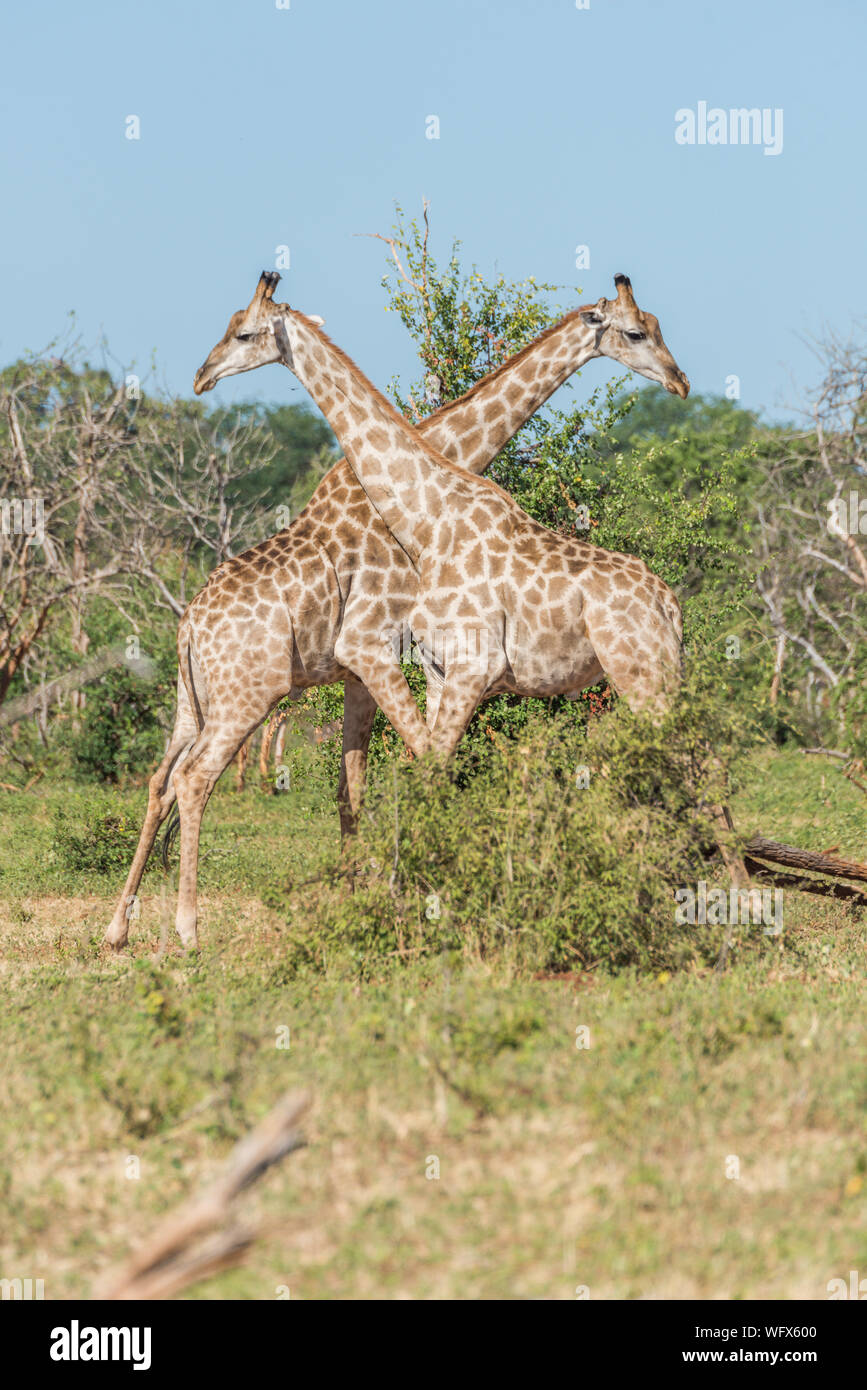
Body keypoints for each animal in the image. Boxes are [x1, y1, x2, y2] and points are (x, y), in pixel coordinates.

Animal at [104, 271, 688, 949]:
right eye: (637, 332)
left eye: (240, 330)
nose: (679, 381)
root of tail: (188, 625)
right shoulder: (372, 647)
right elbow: (400, 768)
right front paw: (393, 892)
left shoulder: (365, 667)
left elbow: (354, 786)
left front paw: (370, 893)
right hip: (243, 696)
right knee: (192, 779)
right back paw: (186, 929)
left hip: (191, 700)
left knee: (159, 780)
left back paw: (119, 927)